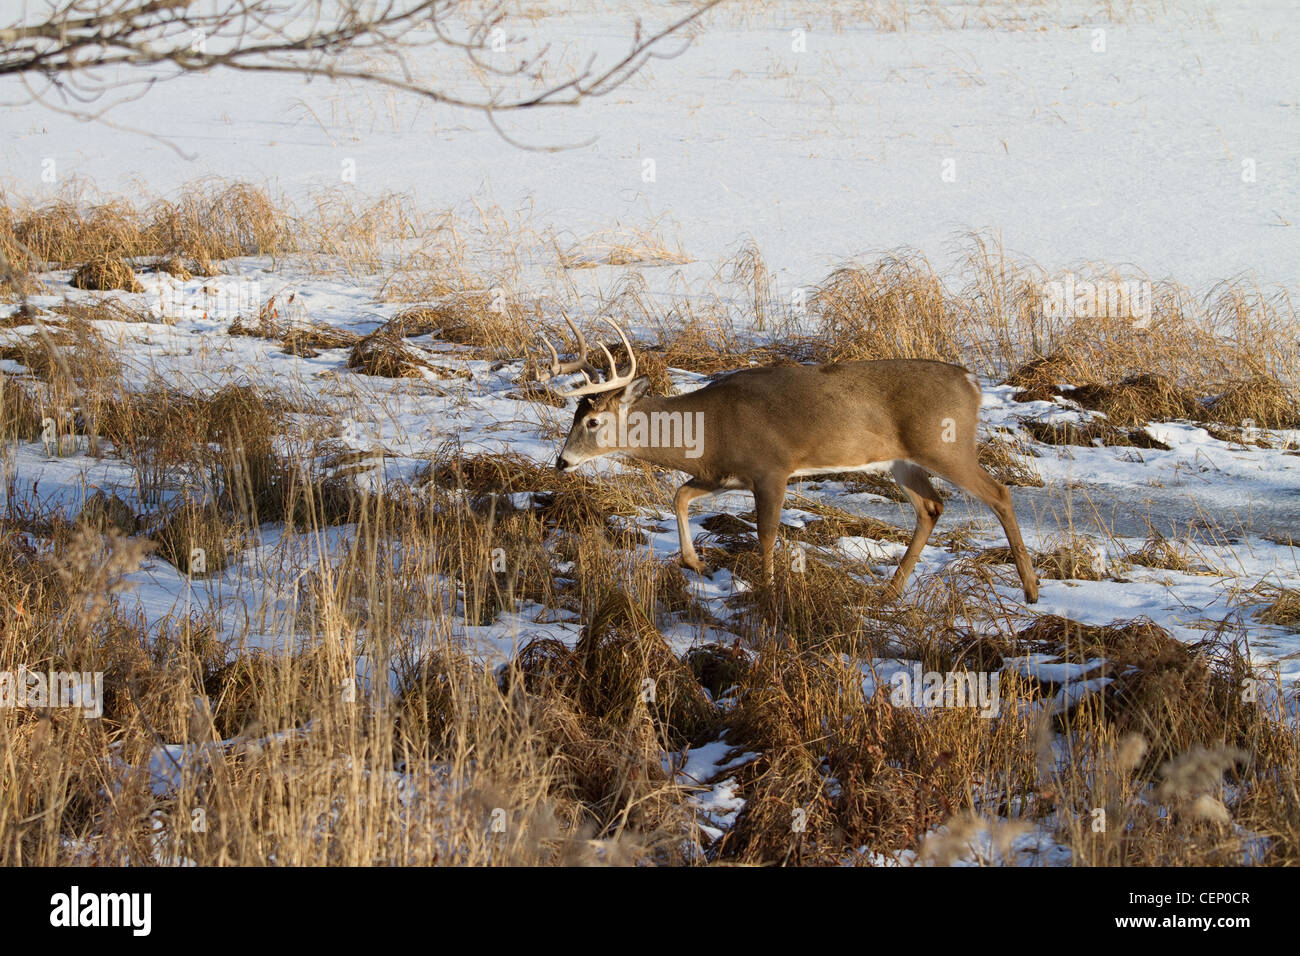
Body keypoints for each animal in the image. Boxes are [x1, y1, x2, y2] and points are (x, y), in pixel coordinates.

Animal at [534, 315, 1038, 604]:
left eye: (592, 421)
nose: (561, 462)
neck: (707, 428)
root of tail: (972, 381)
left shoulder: (771, 468)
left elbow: (767, 533)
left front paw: (768, 589)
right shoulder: (723, 475)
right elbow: (679, 496)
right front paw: (696, 564)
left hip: (946, 446)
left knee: (998, 492)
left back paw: (1031, 589)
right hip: (901, 461)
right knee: (931, 506)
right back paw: (890, 591)